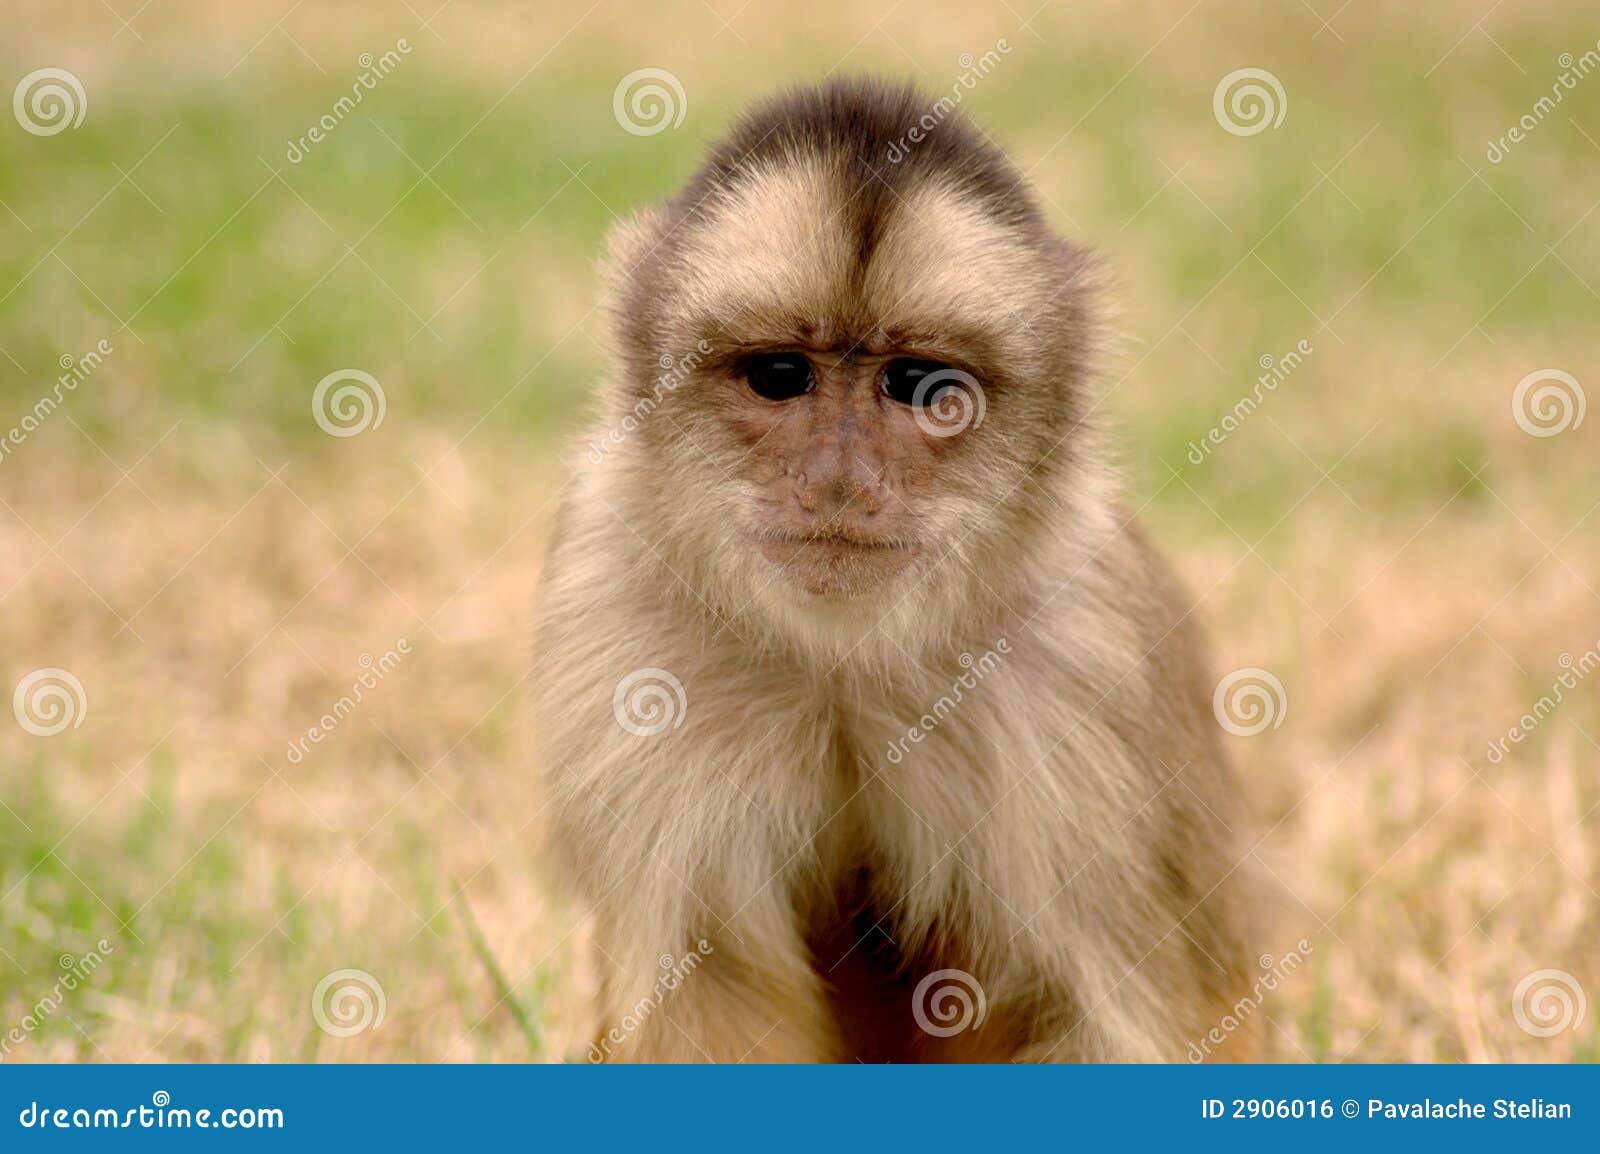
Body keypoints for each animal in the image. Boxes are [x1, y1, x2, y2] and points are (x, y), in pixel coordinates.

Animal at [531, 77, 1259, 1063]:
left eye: (921, 386)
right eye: (779, 375)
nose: (840, 481)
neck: (843, 662)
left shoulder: (1084, 647)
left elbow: (1083, 1011)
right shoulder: (620, 609)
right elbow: (709, 986)